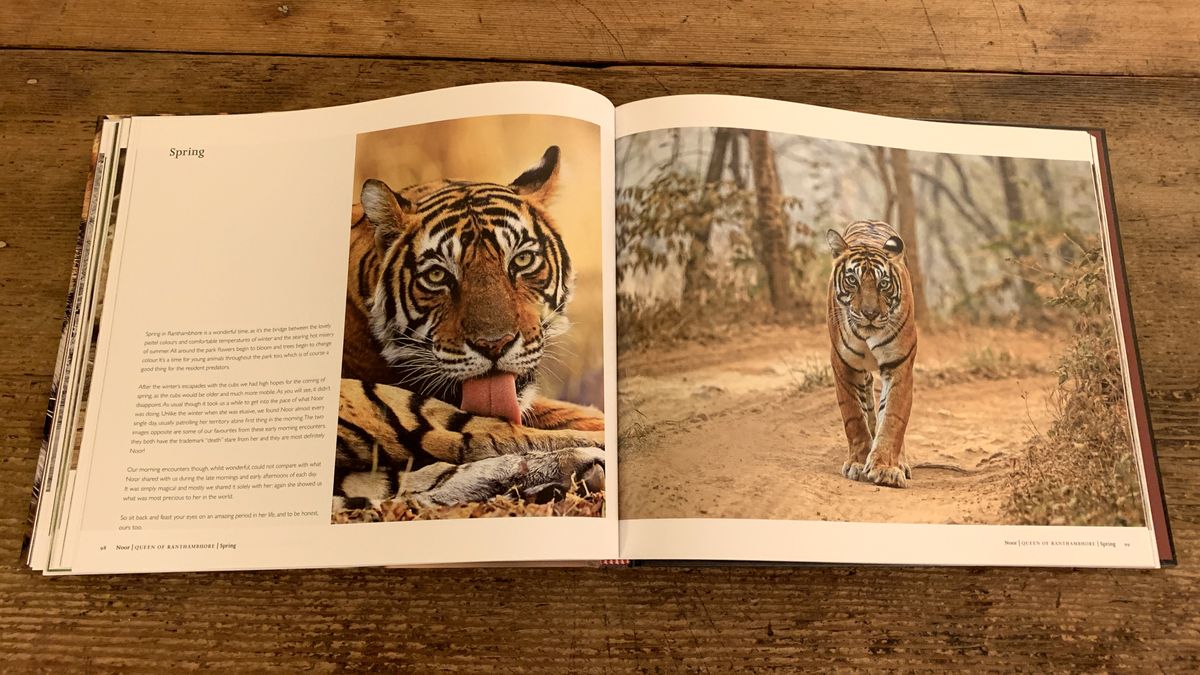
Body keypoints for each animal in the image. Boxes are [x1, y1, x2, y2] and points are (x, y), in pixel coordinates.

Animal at [826, 220, 918, 488]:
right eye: (852, 280)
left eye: (883, 284)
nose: (869, 313)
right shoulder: (843, 365)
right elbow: (854, 417)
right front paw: (857, 463)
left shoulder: (900, 365)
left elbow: (893, 418)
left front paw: (886, 468)